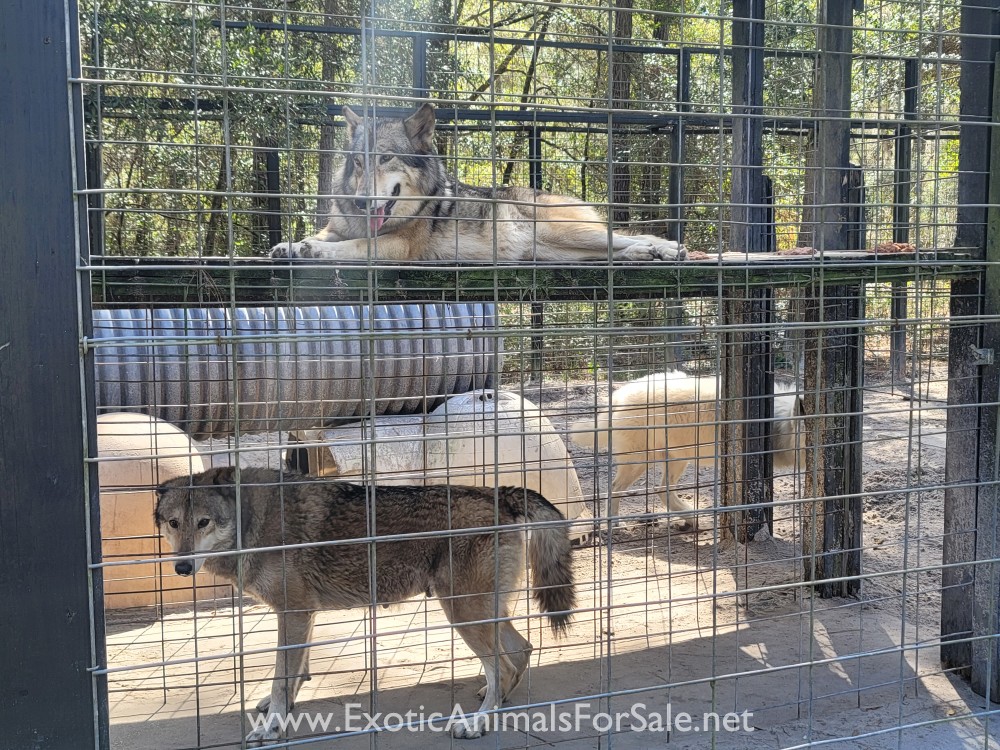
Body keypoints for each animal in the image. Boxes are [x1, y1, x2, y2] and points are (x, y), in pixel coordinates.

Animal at [155, 466, 575, 745]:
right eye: (174, 523)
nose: (182, 567)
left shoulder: (292, 612)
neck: (253, 523)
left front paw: (273, 725)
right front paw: (282, 707)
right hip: (481, 612)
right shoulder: (302, 614)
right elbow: (294, 673)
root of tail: (500, 493)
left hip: (462, 613)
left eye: (204, 522)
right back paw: (496, 700)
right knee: (520, 652)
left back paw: (478, 723)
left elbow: (281, 677)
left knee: (504, 664)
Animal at [270, 103, 685, 263]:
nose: (360, 202)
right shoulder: (338, 228)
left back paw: (665, 249)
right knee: (614, 249)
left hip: (567, 232)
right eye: (358, 162)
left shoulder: (398, 246)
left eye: (385, 157)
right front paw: (290, 245)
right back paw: (644, 254)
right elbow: (324, 236)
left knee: (627, 236)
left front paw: (311, 251)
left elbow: (351, 247)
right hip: (557, 251)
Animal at [571, 371, 805, 530]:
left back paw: (691, 519)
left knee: (662, 490)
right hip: (640, 462)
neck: (776, 422)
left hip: (676, 460)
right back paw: (615, 524)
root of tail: (617, 398)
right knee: (614, 488)